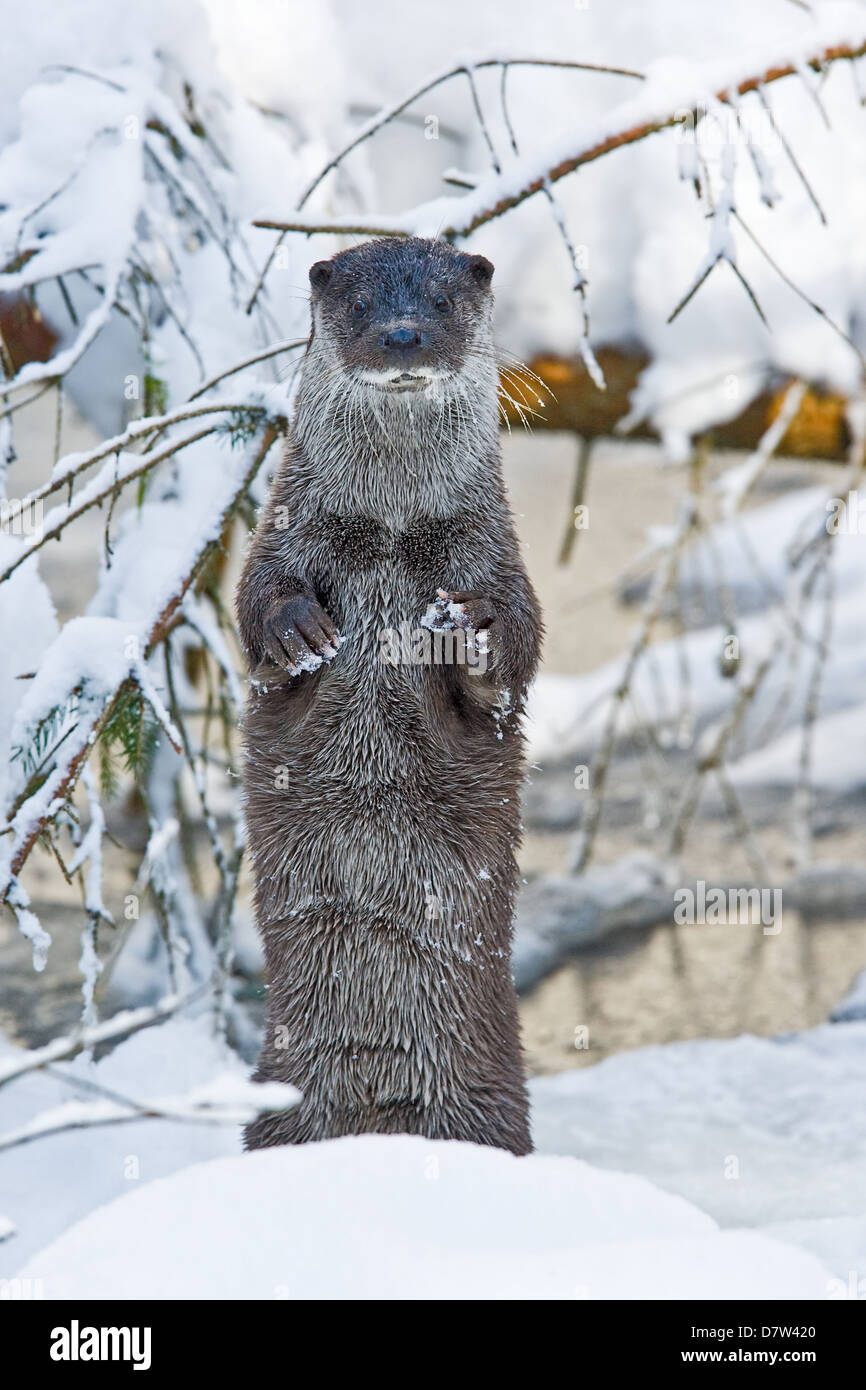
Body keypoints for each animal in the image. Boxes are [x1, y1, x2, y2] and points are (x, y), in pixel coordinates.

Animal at [237, 236, 542, 1155]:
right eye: (364, 304)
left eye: (440, 301)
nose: (403, 334)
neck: (390, 531)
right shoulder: (284, 531)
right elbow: (254, 604)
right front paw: (298, 629)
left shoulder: (495, 552)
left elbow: (519, 645)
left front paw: (467, 630)